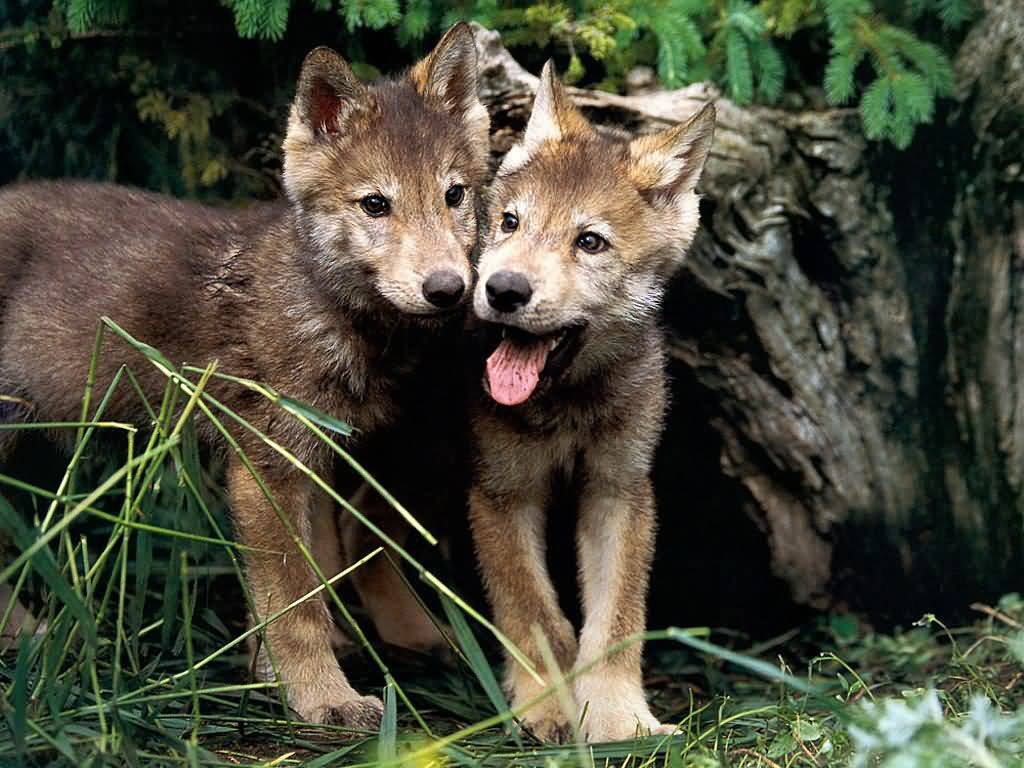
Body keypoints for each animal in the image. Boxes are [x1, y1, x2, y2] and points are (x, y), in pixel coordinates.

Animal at [0, 23, 489, 727]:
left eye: (454, 195)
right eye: (375, 204)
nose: (448, 289)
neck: (328, 313)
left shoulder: (322, 454)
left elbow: (321, 573)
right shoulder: (266, 464)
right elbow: (294, 605)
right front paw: (322, 697)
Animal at [467, 62, 715, 743]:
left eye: (590, 242)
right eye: (510, 223)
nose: (503, 289)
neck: (568, 405)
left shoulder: (619, 489)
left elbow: (616, 622)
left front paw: (617, 718)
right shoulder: (502, 492)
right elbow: (534, 614)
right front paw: (545, 708)